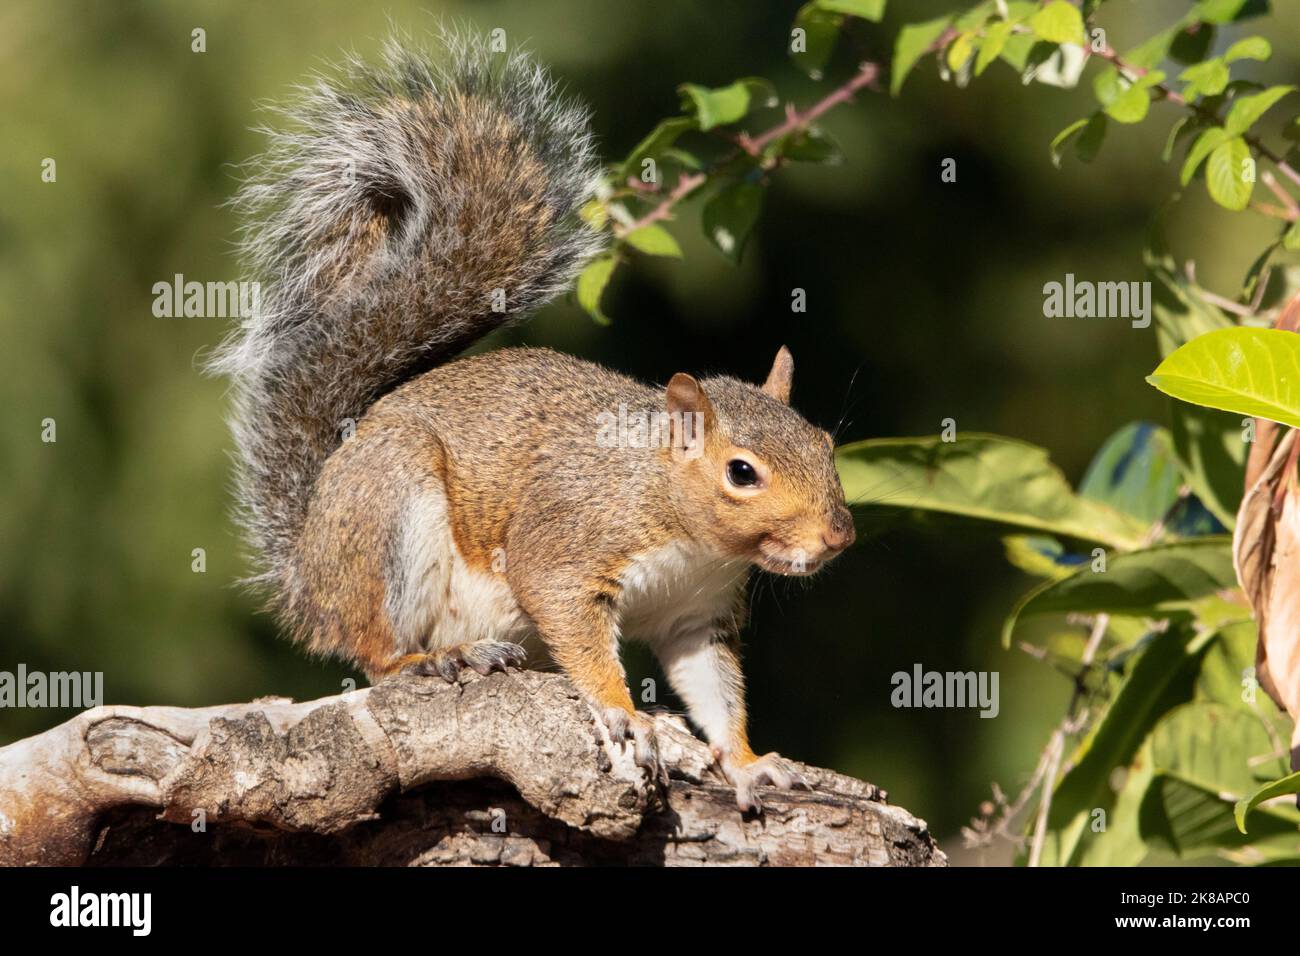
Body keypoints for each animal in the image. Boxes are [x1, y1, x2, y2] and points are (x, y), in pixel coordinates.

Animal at [210, 31, 856, 812]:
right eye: (741, 473)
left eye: (826, 444)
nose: (838, 536)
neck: (683, 524)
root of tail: (307, 572)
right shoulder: (570, 545)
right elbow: (575, 625)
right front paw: (624, 713)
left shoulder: (696, 615)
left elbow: (714, 690)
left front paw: (748, 762)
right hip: (389, 509)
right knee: (376, 652)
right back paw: (440, 658)